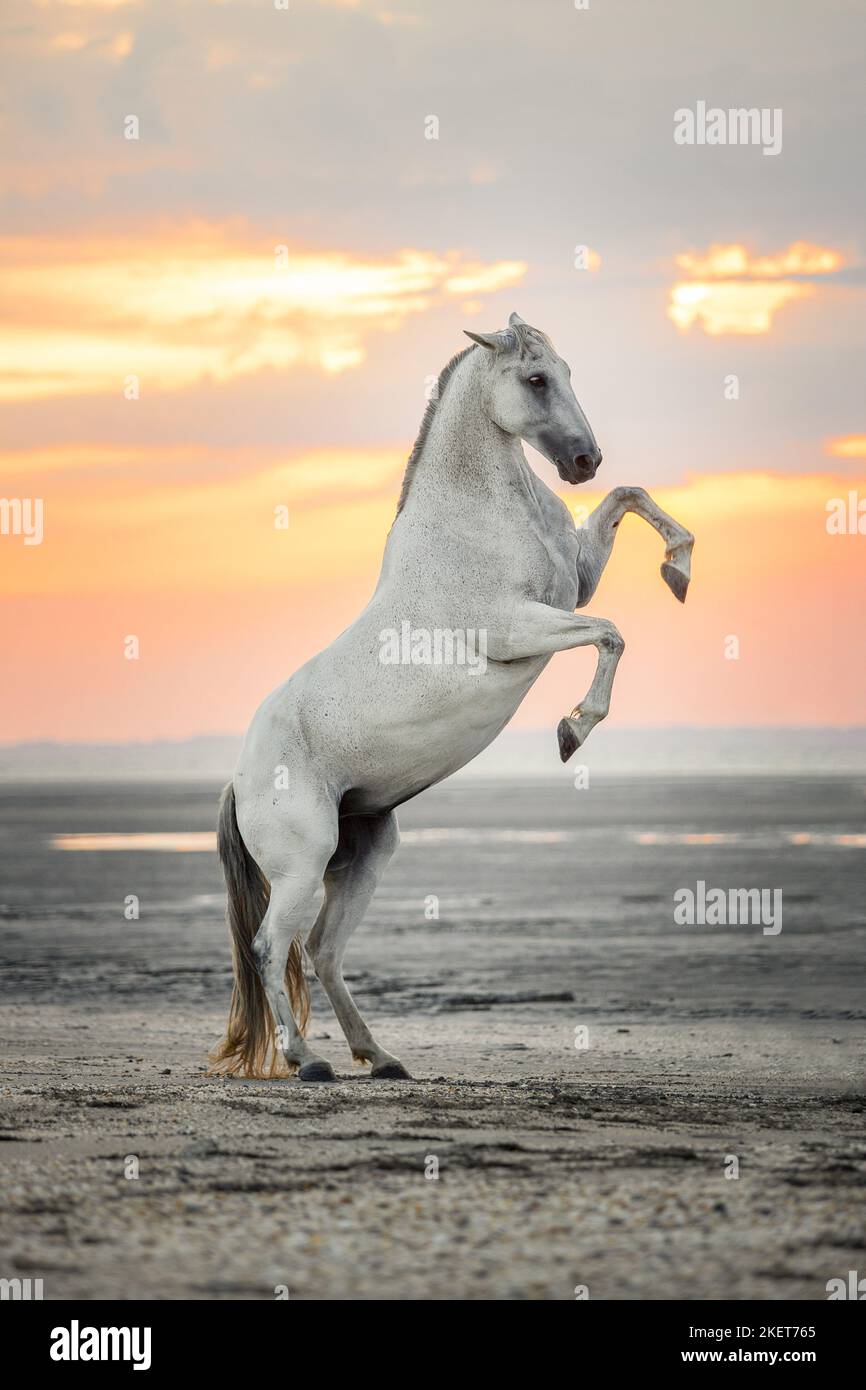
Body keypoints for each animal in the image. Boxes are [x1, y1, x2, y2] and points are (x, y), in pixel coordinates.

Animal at [210, 312, 693, 1082]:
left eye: (567, 371)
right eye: (535, 379)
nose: (583, 459)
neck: (477, 520)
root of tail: (239, 778)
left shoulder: (574, 585)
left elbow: (629, 499)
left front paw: (679, 567)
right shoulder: (518, 628)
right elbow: (611, 634)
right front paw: (573, 731)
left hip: (365, 855)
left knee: (323, 949)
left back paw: (379, 1056)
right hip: (301, 866)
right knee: (268, 946)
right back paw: (305, 1060)